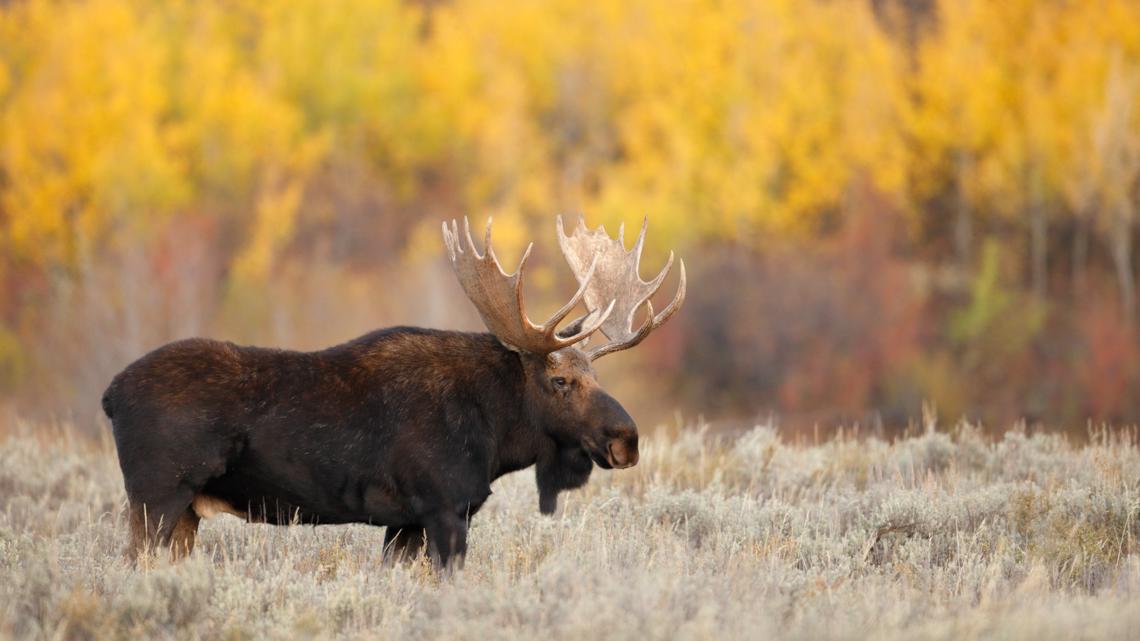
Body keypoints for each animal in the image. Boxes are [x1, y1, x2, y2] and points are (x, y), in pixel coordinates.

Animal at [101, 216, 685, 568]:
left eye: (599, 378)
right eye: (560, 381)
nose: (627, 440)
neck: (494, 433)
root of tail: (109, 395)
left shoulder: (404, 523)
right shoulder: (443, 506)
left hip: (184, 512)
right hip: (158, 495)